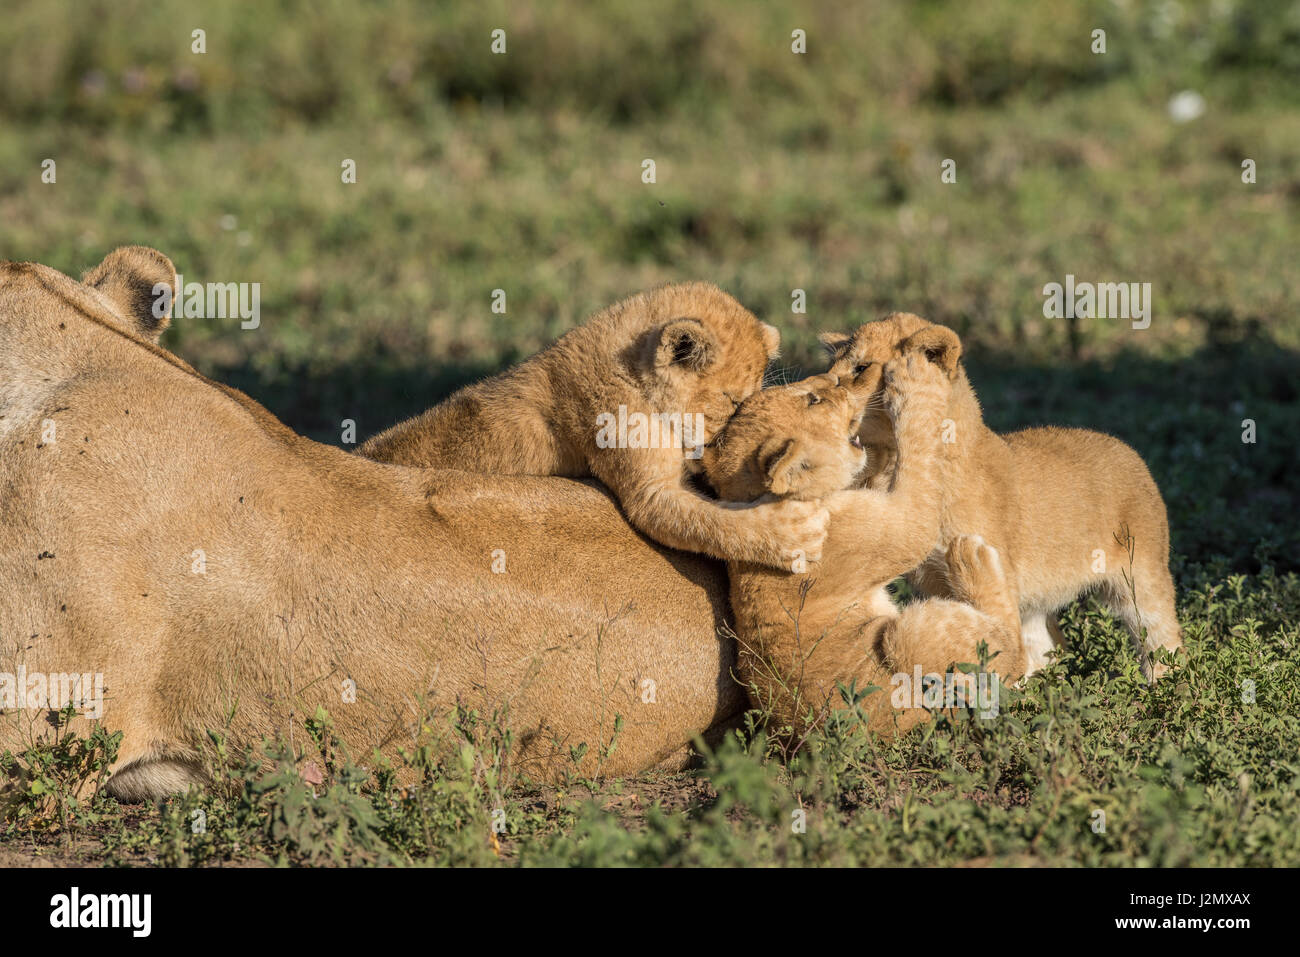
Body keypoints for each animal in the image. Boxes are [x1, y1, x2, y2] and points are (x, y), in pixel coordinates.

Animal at [699, 345, 1024, 737]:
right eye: (814, 400)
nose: (835, 378)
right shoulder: (899, 525)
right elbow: (917, 457)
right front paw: (915, 380)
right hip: (906, 639)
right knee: (1011, 656)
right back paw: (970, 556)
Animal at [821, 313, 1182, 678]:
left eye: (861, 368)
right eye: (831, 366)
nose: (820, 389)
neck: (889, 464)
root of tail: (1128, 449)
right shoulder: (938, 582)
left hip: (1142, 575)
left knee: (1162, 635)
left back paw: (1163, 683)